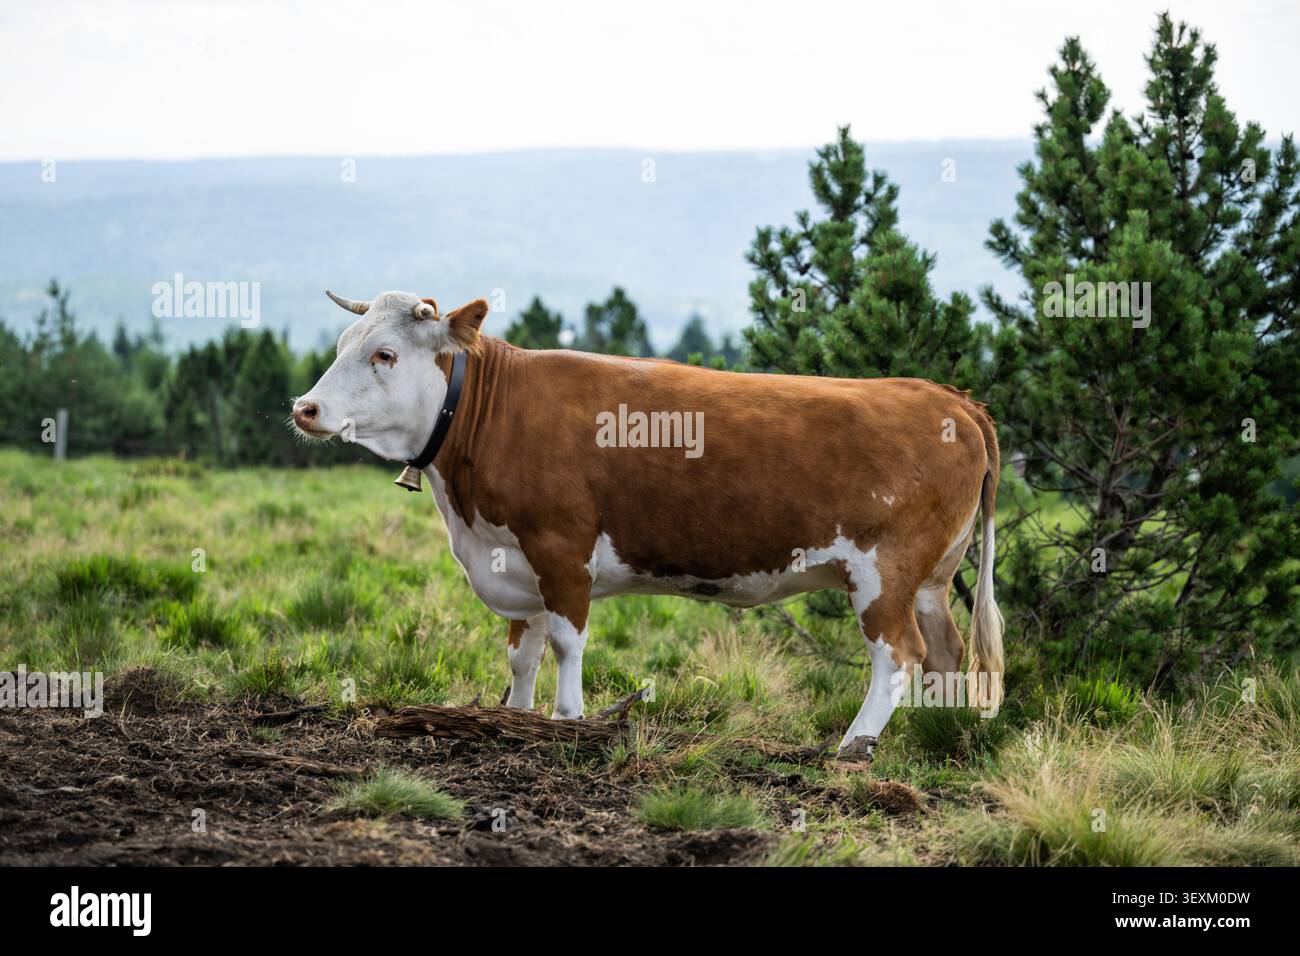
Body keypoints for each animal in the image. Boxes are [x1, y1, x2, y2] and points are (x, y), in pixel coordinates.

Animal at [291, 290, 1004, 759]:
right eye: (342, 346)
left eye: (385, 354)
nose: (305, 407)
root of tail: (948, 398)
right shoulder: (510, 559)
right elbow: (522, 652)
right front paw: (514, 718)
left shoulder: (561, 550)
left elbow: (564, 644)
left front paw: (567, 721)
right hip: (932, 578)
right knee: (947, 652)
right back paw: (944, 736)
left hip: (884, 573)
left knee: (900, 654)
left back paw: (856, 743)